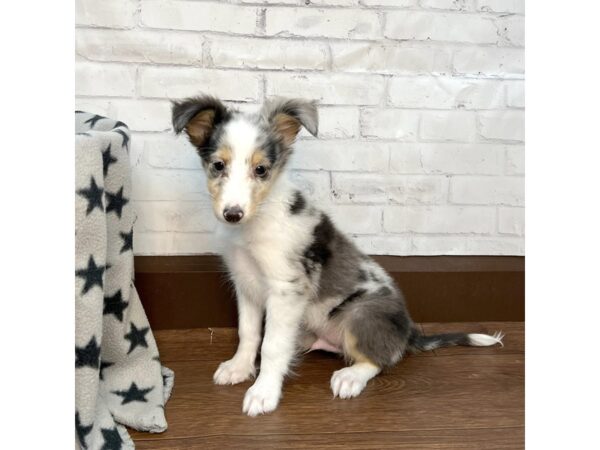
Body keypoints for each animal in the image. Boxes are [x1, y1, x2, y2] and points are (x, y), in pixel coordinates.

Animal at [171, 96, 504, 418]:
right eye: (218, 165)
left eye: (261, 170)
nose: (232, 214)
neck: (252, 225)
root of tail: (408, 333)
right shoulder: (246, 283)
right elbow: (249, 333)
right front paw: (239, 368)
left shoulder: (286, 289)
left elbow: (272, 346)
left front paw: (263, 393)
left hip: (361, 314)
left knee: (380, 358)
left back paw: (350, 378)